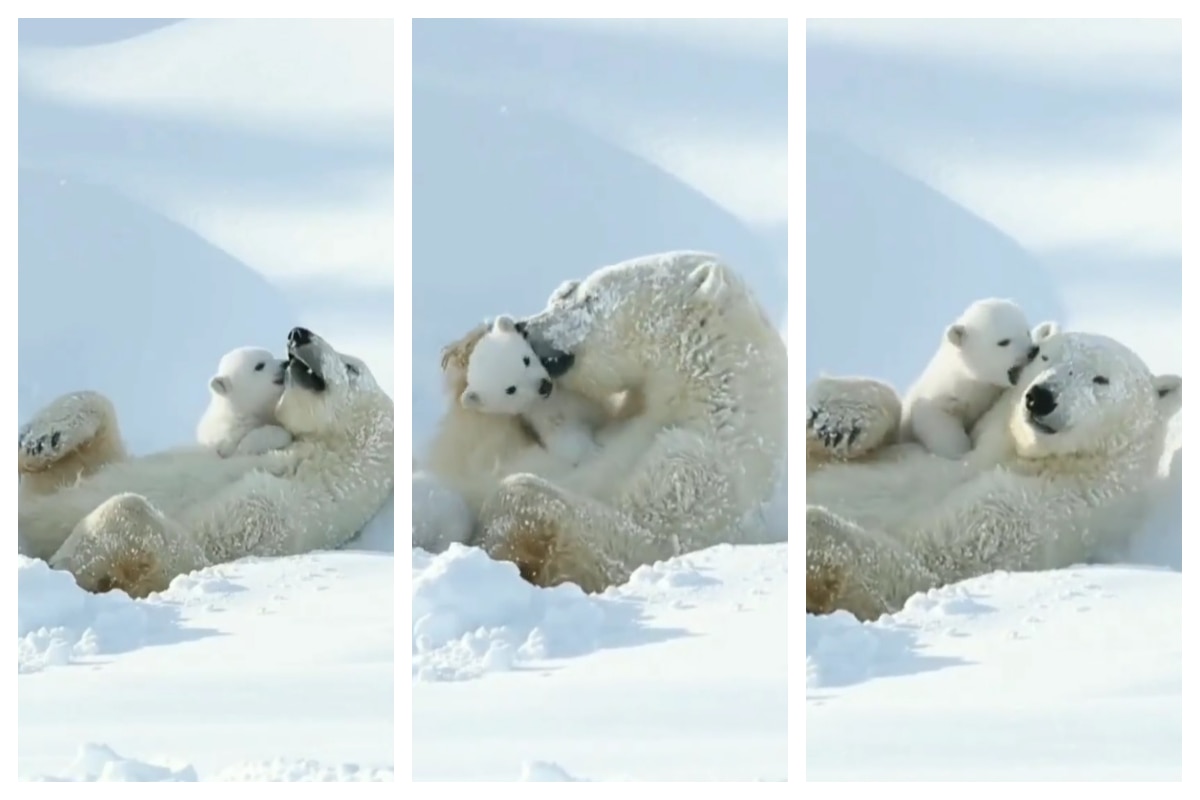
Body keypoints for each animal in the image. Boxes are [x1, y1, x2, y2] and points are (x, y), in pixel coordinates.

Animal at [18, 327, 394, 598]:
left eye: (352, 367)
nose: (298, 333)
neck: (317, 460)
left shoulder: (274, 514)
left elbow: (181, 550)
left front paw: (62, 564)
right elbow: (91, 455)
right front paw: (38, 439)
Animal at [459, 314, 611, 468]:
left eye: (526, 360)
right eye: (510, 389)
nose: (544, 386)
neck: (555, 398)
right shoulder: (542, 415)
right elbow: (564, 436)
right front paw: (594, 451)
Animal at [475, 250, 788, 593]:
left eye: (590, 297)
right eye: (568, 293)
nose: (523, 326)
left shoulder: (701, 468)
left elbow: (643, 542)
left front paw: (500, 533)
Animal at [805, 329, 1182, 621]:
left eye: (1101, 379)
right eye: (1043, 355)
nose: (1041, 397)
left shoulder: (1041, 515)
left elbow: (927, 567)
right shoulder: (942, 452)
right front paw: (833, 420)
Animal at [899, 298, 1055, 460]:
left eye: (1027, 332)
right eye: (1004, 341)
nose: (1032, 350)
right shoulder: (939, 395)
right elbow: (935, 420)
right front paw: (960, 451)